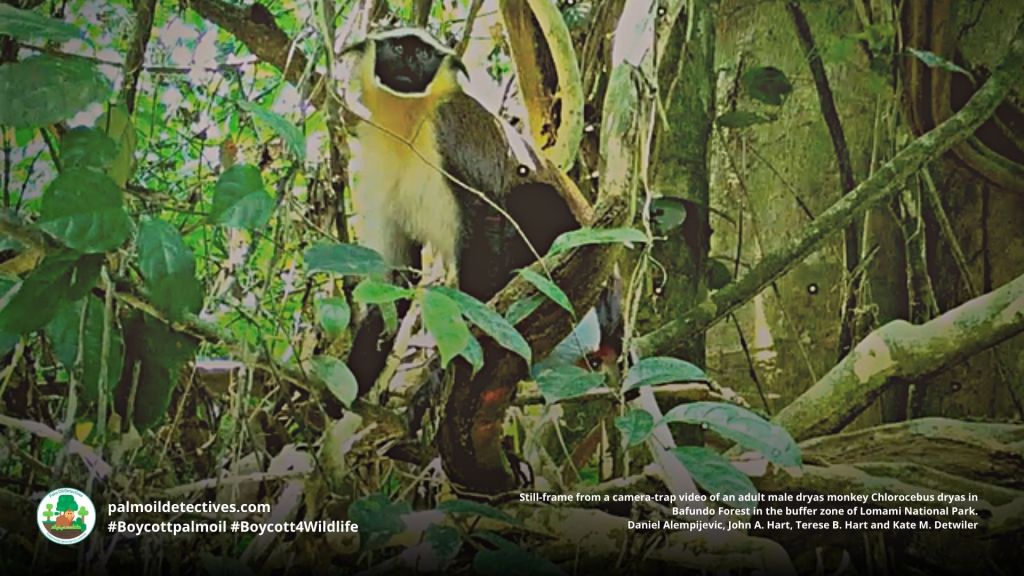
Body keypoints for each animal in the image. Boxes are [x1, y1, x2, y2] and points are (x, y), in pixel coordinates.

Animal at [341, 28, 584, 397]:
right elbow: (396, 279)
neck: (409, 117)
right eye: (397, 47)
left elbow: (486, 211)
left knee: (531, 196)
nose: (409, 61)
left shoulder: (449, 127)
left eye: (424, 54)